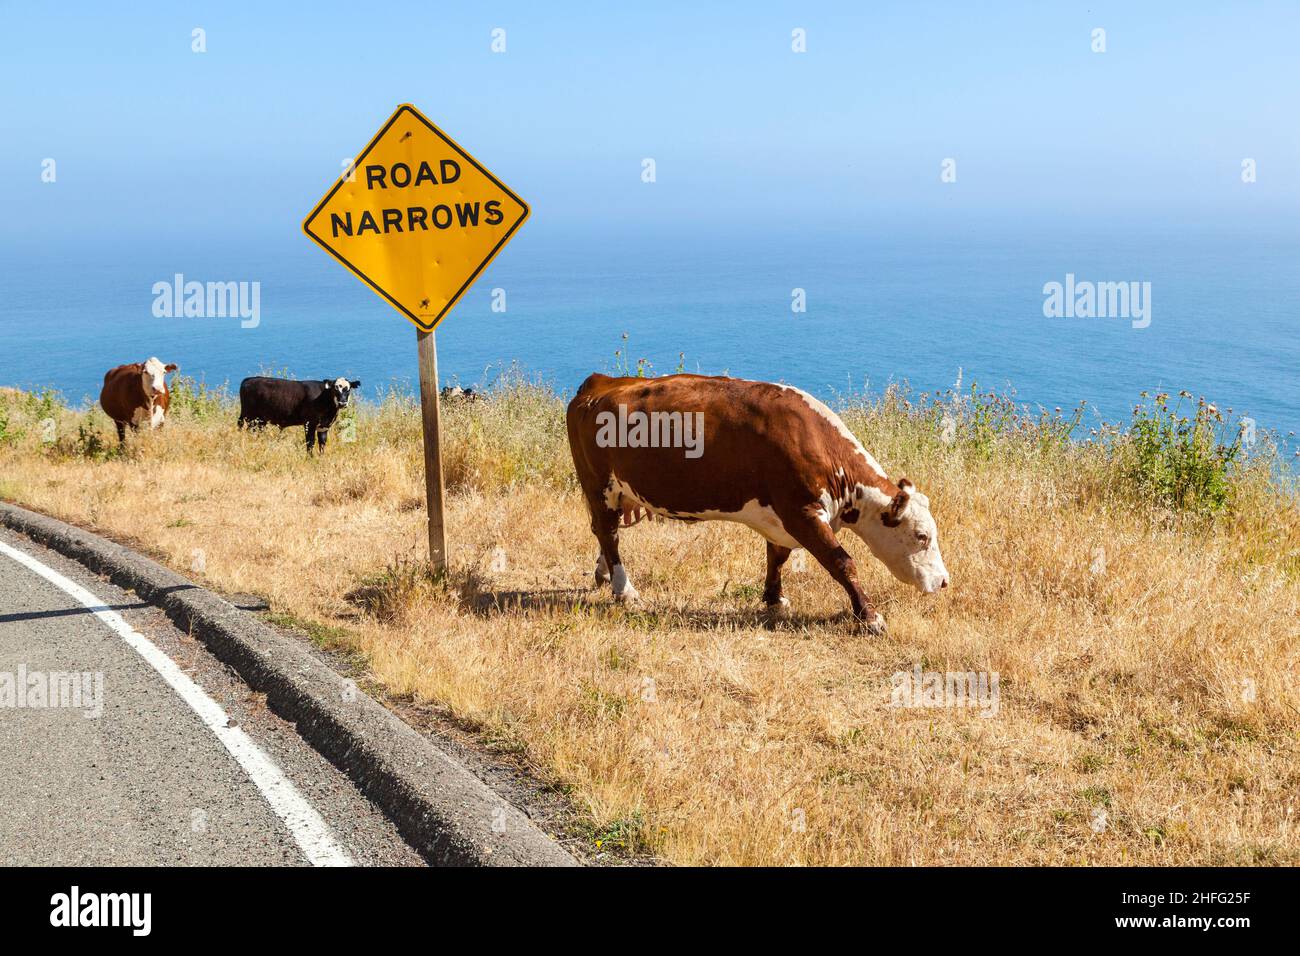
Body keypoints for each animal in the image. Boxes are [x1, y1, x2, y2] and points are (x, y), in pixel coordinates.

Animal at [566, 373, 949, 634]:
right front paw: (868, 616)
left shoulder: (783, 519)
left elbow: (777, 556)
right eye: (922, 536)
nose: (944, 582)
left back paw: (603, 573)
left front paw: (774, 598)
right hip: (599, 485)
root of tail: (599, 383)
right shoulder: (802, 512)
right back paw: (623, 588)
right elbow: (843, 563)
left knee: (603, 532)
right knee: (609, 532)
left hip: (621, 492)